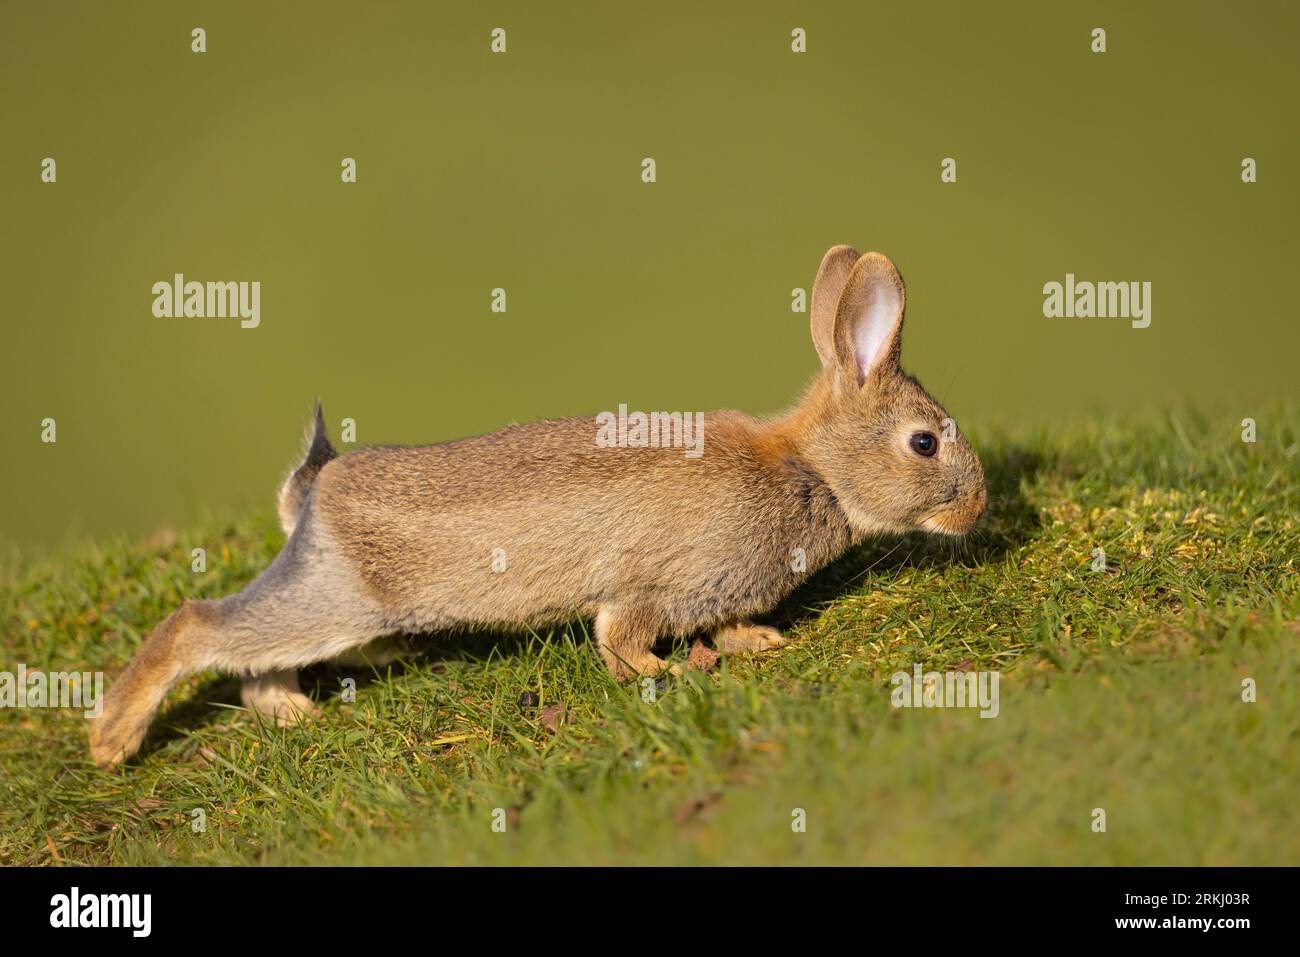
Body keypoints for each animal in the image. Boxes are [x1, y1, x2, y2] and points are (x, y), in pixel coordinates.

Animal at [90, 246, 987, 769]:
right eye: (923, 444)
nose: (977, 508)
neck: (816, 468)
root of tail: (313, 490)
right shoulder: (652, 584)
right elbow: (620, 635)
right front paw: (661, 673)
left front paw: (756, 642)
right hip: (330, 598)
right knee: (199, 627)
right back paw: (113, 740)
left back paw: (297, 709)